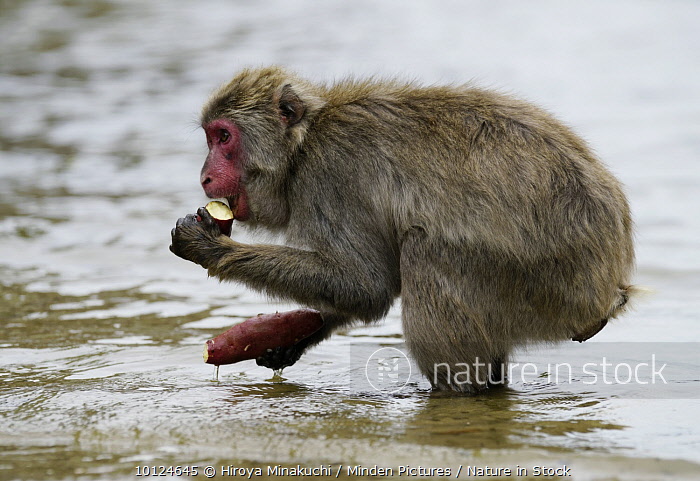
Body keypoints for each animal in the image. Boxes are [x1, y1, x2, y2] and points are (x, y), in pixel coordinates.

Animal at [170, 66, 637, 393]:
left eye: (224, 137)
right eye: (211, 138)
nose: (205, 176)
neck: (303, 147)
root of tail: (608, 289)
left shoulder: (330, 176)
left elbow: (367, 284)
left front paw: (210, 247)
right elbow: (373, 282)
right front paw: (293, 337)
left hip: (545, 288)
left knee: (426, 250)